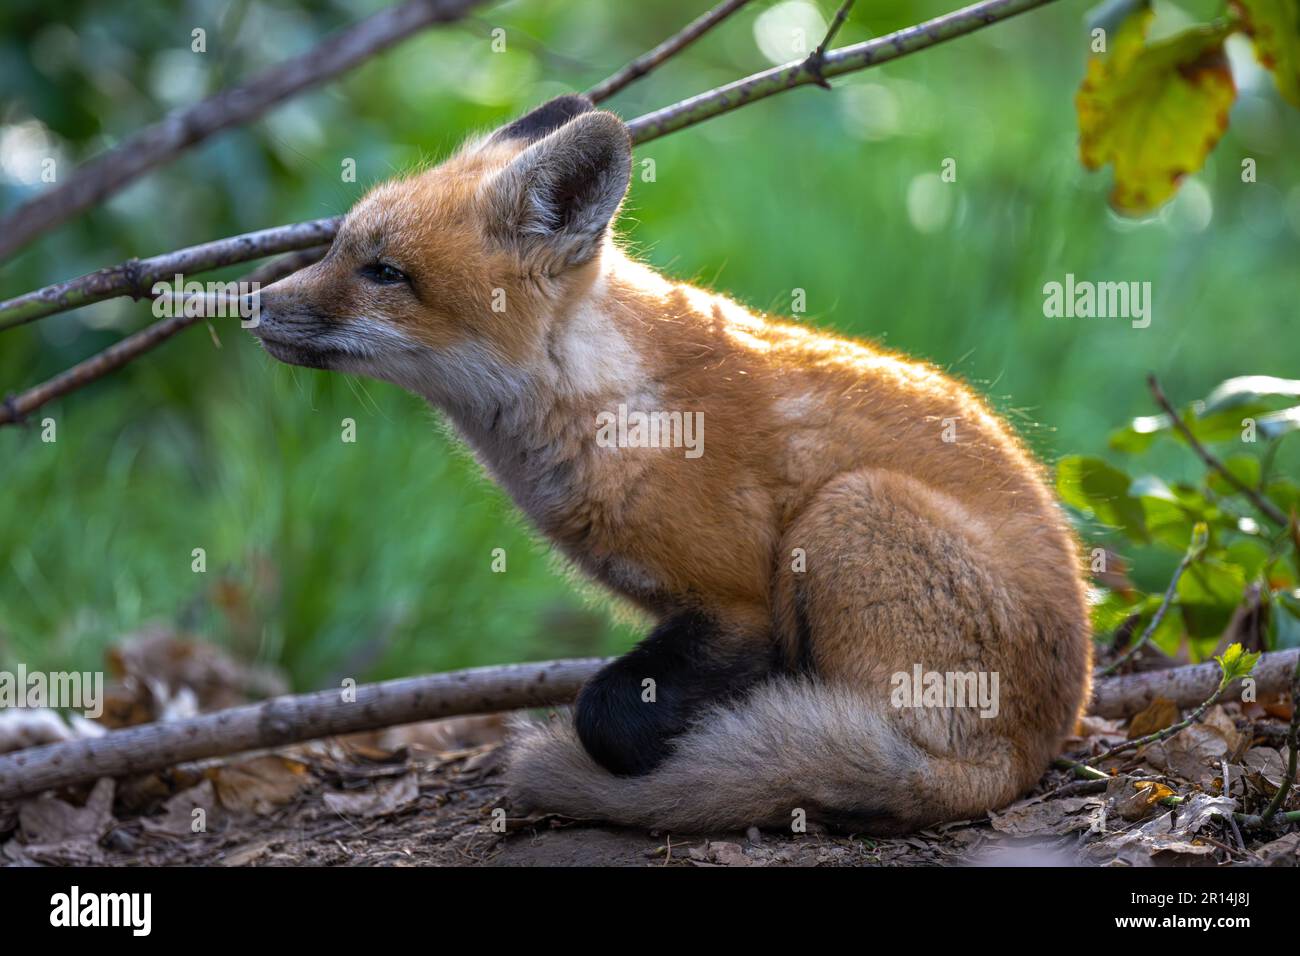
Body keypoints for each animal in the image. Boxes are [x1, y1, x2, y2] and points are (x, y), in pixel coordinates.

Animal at [250, 94, 1092, 835]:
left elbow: (606, 714)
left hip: (849, 511)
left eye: (384, 272)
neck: (614, 407)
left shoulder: (740, 601)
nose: (250, 304)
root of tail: (1044, 740)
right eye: (338, 249)